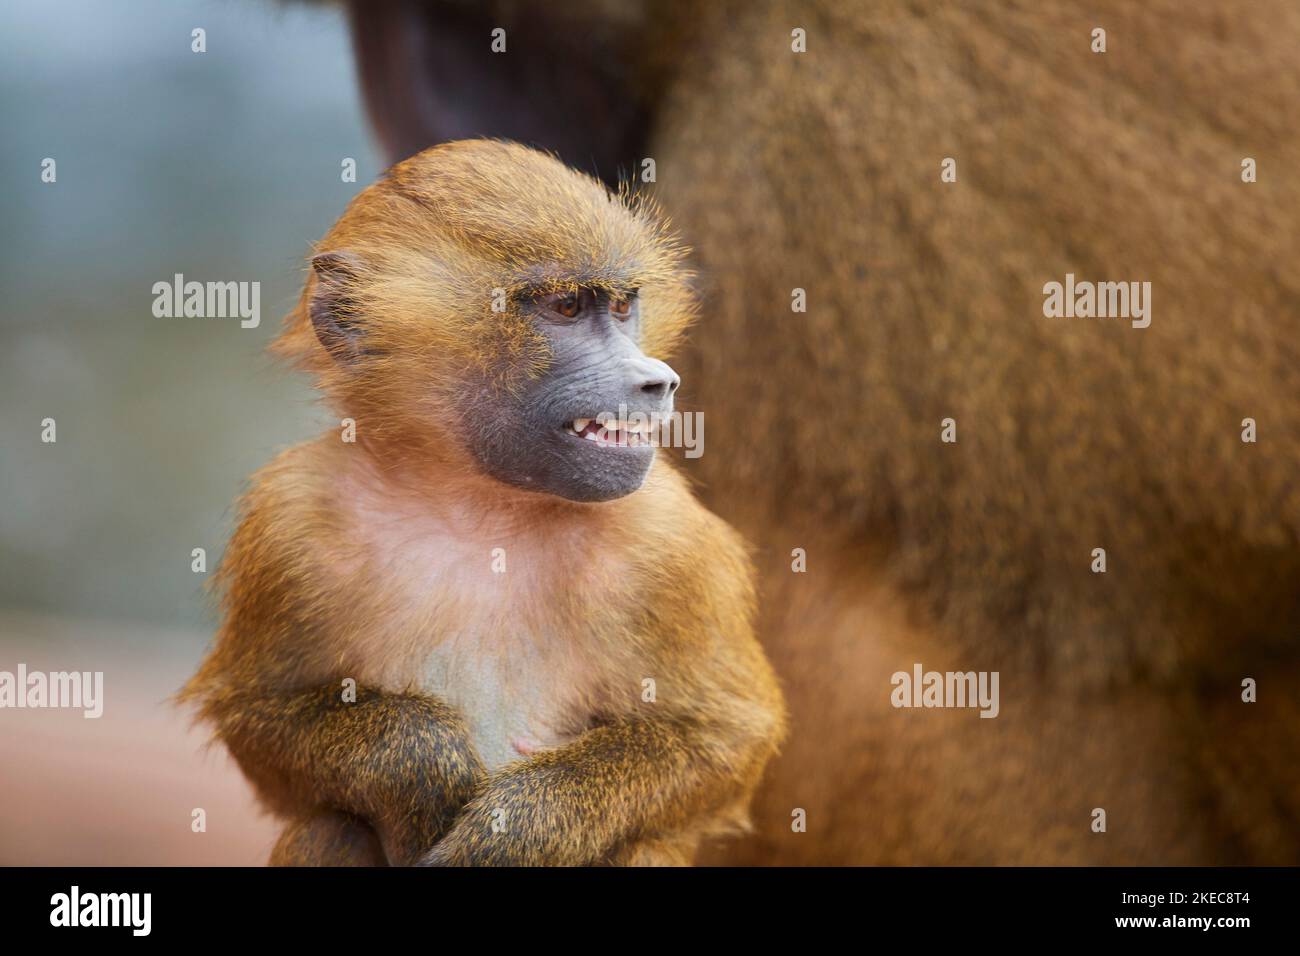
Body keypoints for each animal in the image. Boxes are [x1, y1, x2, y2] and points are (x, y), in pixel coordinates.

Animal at [181, 139, 786, 866]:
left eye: (620, 308)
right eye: (563, 307)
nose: (656, 382)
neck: (474, 505)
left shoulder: (666, 540)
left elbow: (726, 735)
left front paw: (520, 826)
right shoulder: (289, 517)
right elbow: (252, 714)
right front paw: (418, 766)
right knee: (331, 826)